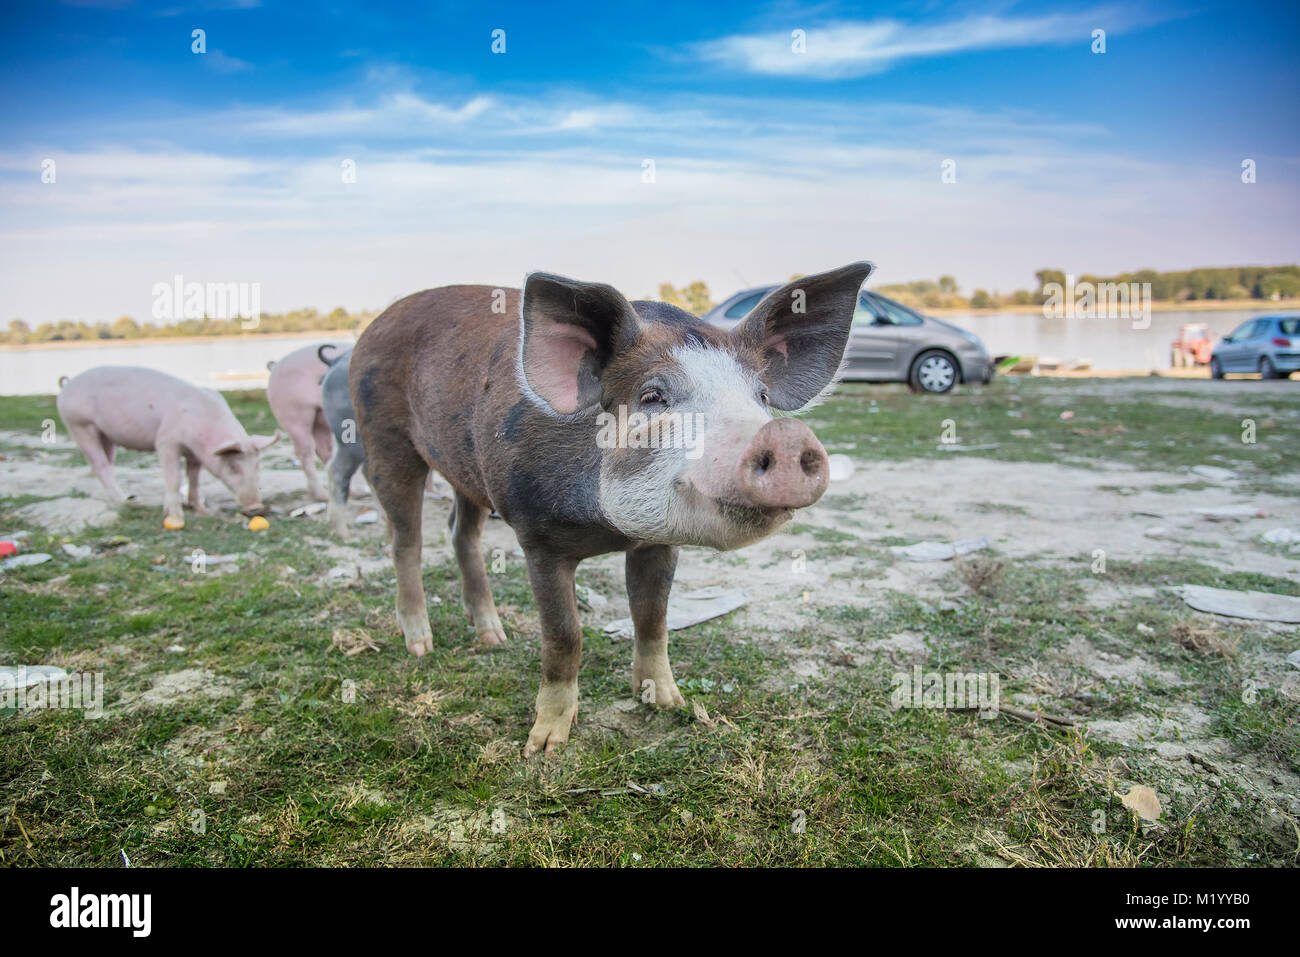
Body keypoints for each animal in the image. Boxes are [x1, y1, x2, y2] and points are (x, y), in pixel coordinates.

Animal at [57, 366, 281, 528]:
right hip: (80, 425)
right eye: (233, 466)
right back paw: (122, 501)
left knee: (108, 463)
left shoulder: (195, 454)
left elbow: (194, 479)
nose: (256, 507)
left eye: (258, 465)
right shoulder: (166, 441)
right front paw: (175, 517)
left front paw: (203, 511)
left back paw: (128, 499)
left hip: (106, 434)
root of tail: (67, 385)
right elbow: (174, 479)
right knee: (99, 465)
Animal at [266, 343, 348, 501]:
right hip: (295, 413)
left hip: (320, 417)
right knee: (305, 452)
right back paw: (322, 496)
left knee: (324, 450)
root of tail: (276, 366)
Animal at [350, 262, 872, 756]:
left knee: (462, 532)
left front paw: (669, 703)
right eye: (652, 396)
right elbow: (565, 637)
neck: (605, 530)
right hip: (383, 439)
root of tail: (374, 326)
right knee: (406, 541)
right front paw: (544, 747)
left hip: (466, 471)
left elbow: (653, 618)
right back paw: (420, 645)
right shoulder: (536, 538)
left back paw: (494, 638)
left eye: (761, 397)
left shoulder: (658, 542)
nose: (785, 435)